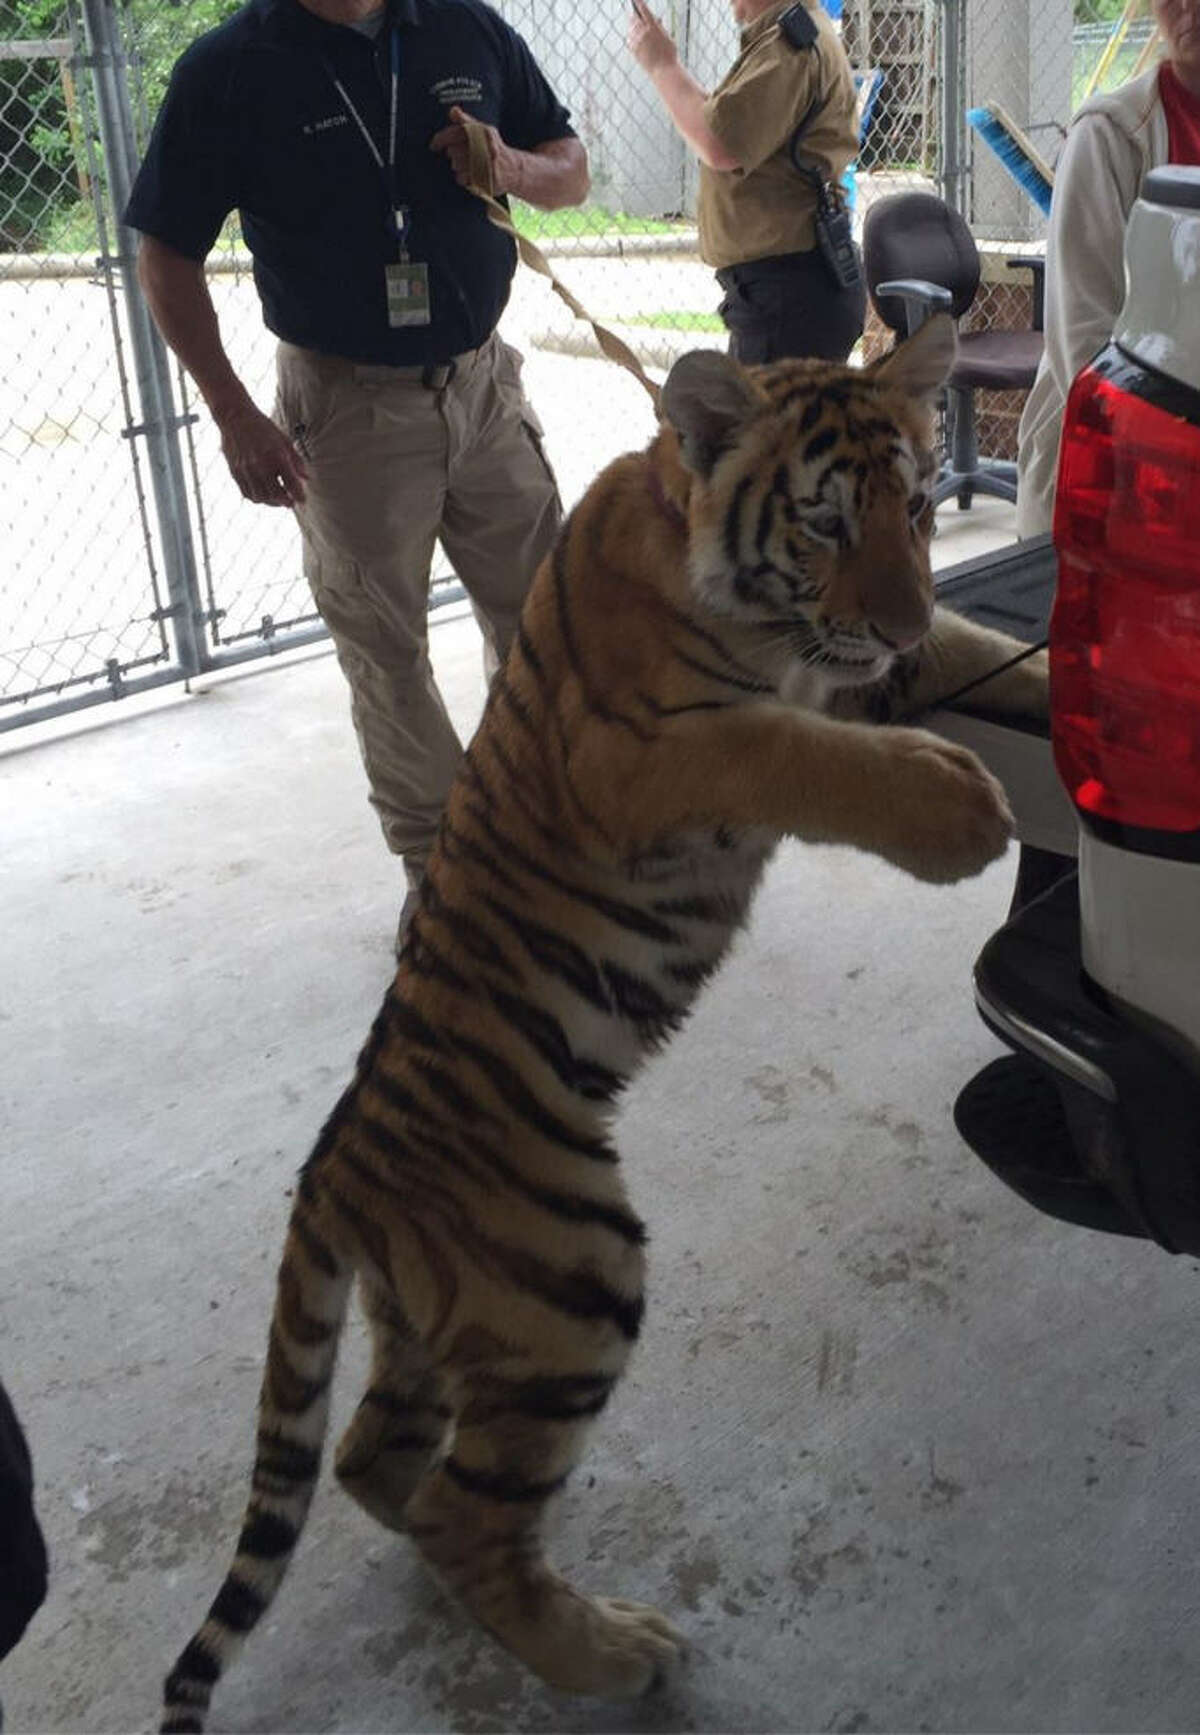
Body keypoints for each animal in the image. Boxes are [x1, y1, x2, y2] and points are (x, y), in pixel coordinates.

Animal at [159, 313, 1047, 1732]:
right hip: (566, 1274)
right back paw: (615, 1654)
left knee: (372, 1459)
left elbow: (969, 643)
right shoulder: (652, 750)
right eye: (826, 524)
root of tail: (333, 1173)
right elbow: (795, 748)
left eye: (919, 508)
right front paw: (955, 806)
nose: (891, 619)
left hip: (441, 1324)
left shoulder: (861, 660)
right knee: (468, 1513)